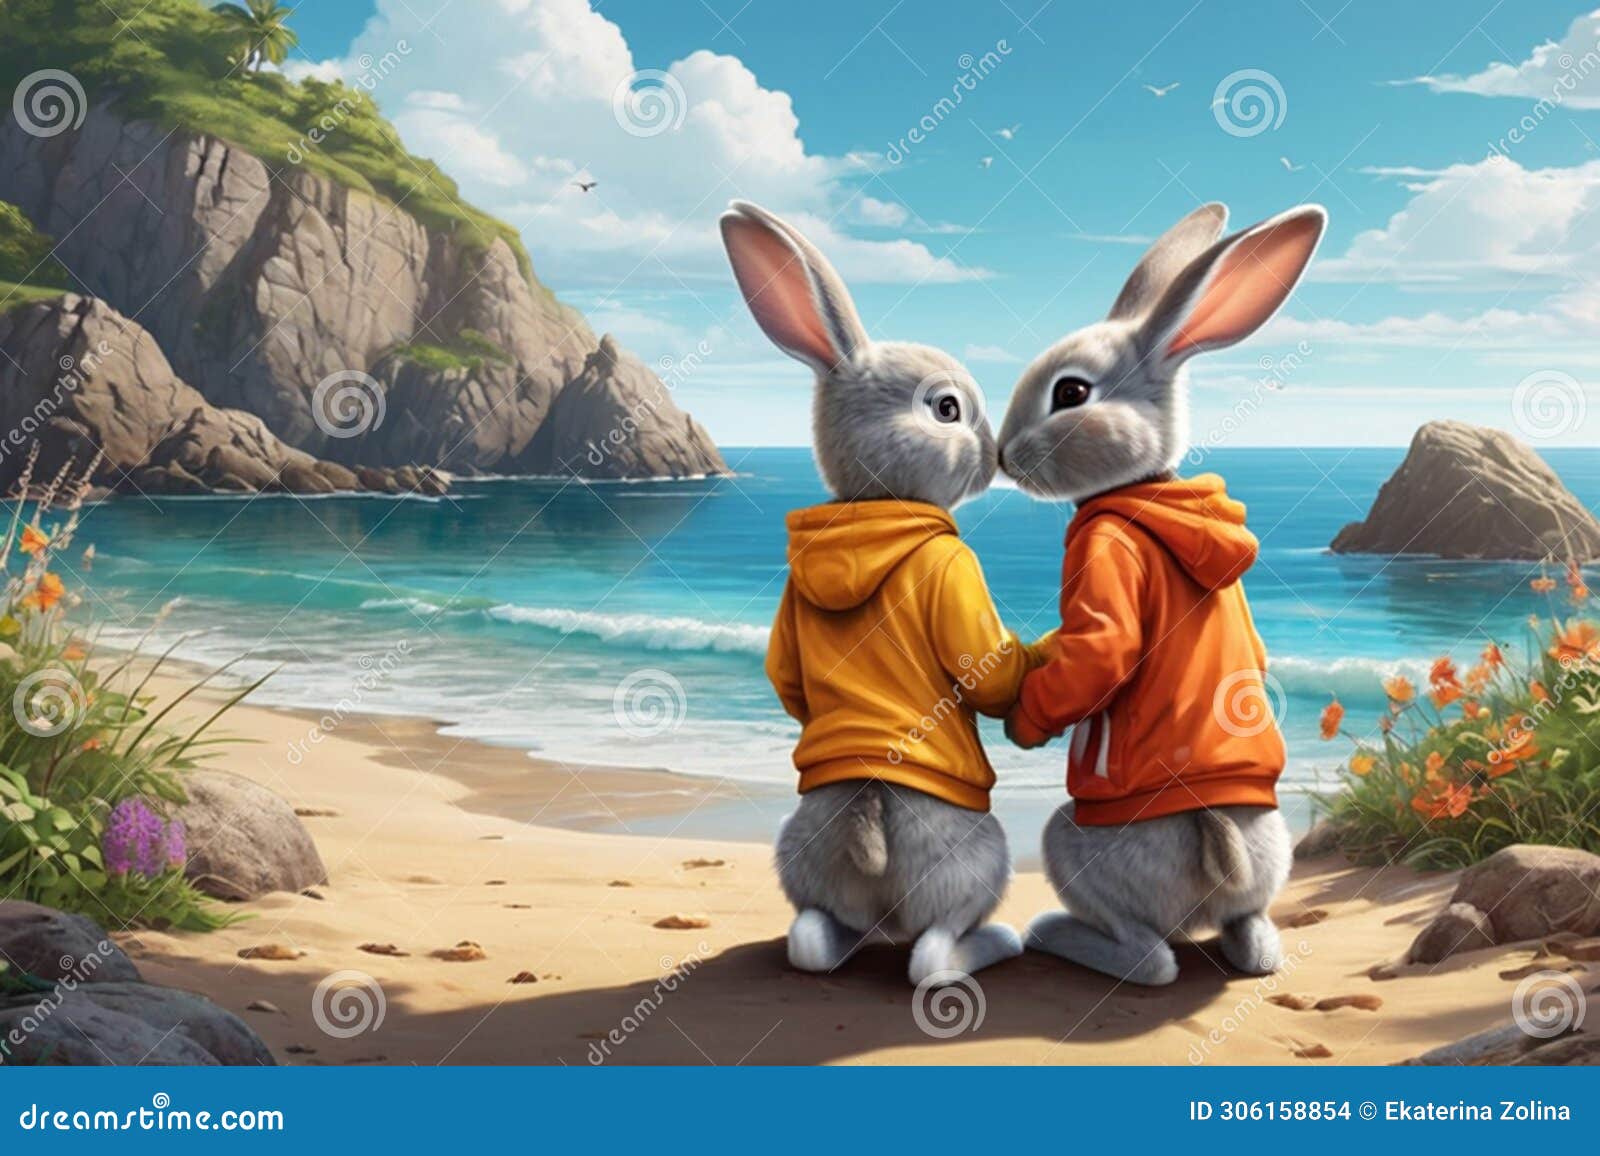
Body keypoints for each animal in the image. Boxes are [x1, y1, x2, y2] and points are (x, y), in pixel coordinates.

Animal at [720, 200, 1036, 987]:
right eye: (947, 409)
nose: (995, 456)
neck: (873, 506)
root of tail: (871, 816)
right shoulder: (954, 574)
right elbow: (982, 661)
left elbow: (784, 674)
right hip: (976, 863)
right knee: (929, 955)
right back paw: (999, 942)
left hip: (803, 856)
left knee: (813, 940)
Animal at [995, 201, 1327, 986]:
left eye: (1071, 393)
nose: (1001, 455)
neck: (1147, 485)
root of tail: (1219, 847)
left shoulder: (1102, 558)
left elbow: (1101, 650)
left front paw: (1027, 722)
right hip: (1272, 859)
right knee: (1253, 939)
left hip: (1068, 845)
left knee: (1151, 961)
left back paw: (1053, 934)